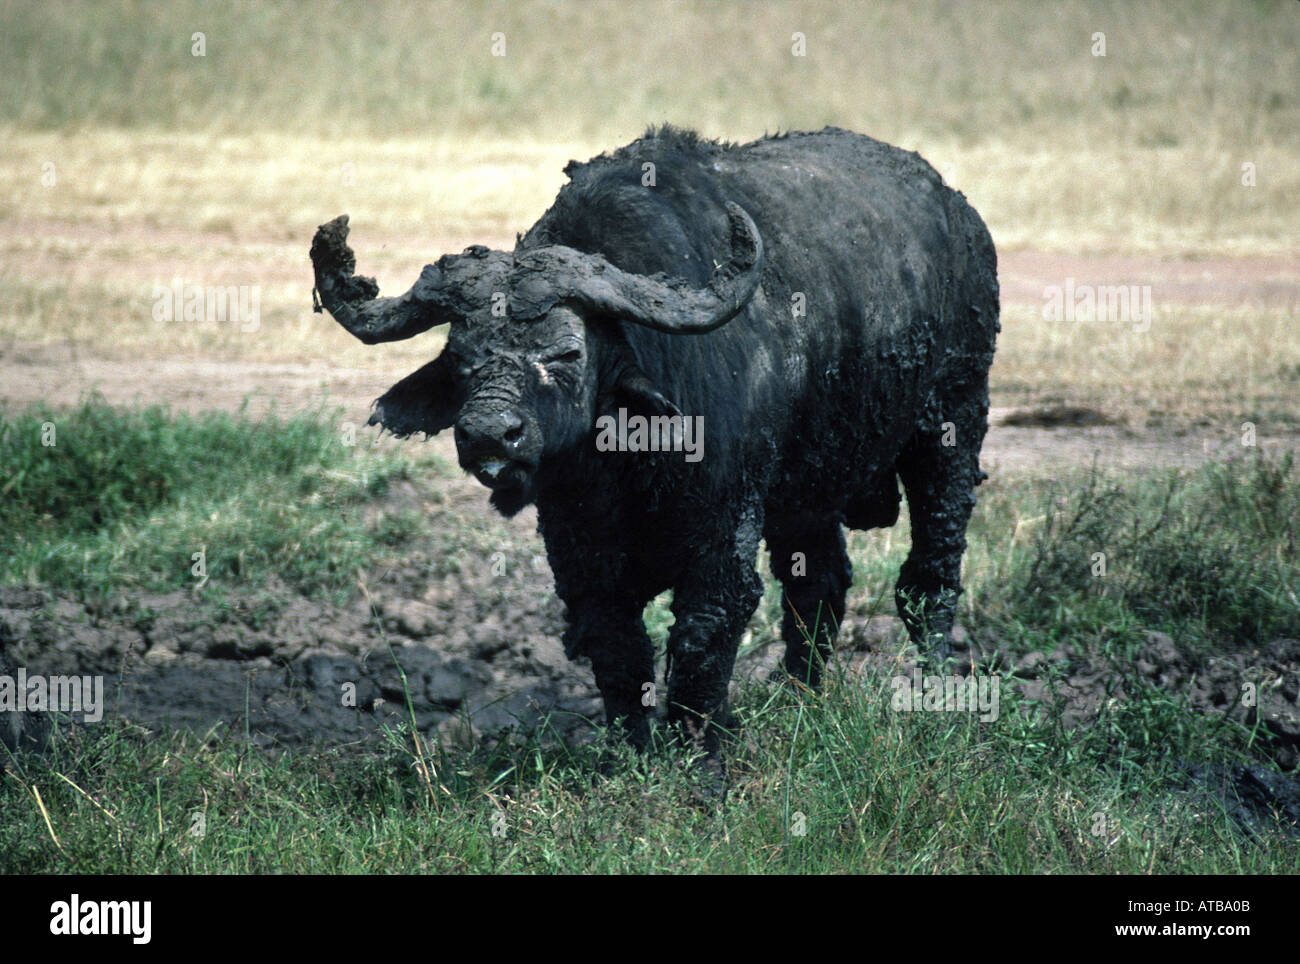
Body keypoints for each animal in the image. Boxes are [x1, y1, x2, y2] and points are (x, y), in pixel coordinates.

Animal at [310, 125, 999, 769]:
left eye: (567, 354)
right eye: (459, 357)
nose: (487, 432)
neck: (627, 467)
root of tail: (959, 212)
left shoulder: (724, 537)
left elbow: (701, 641)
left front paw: (702, 757)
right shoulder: (579, 551)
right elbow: (618, 648)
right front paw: (632, 753)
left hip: (952, 424)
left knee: (929, 575)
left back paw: (933, 690)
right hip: (808, 491)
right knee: (821, 583)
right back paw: (797, 698)